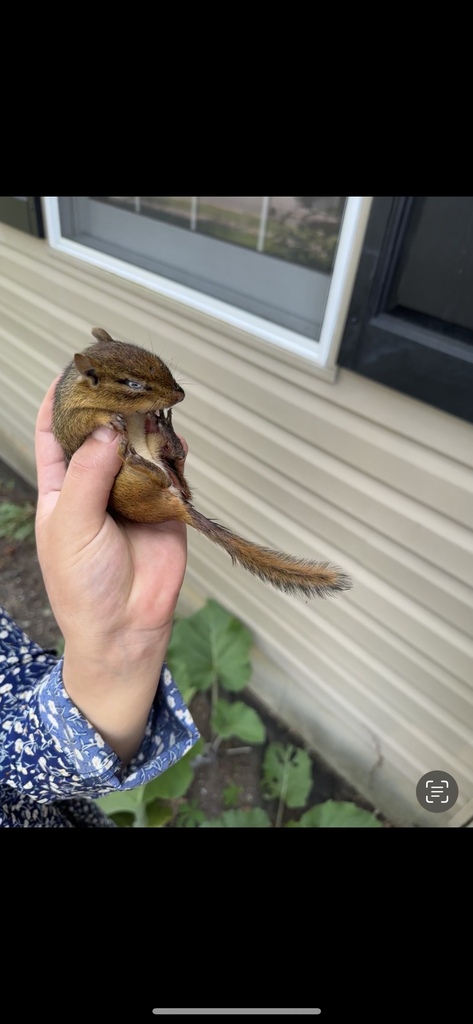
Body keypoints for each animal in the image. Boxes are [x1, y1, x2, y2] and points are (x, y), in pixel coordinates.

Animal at [52, 328, 352, 599]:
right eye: (133, 384)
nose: (181, 394)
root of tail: (175, 508)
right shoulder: (70, 421)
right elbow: (89, 418)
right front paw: (110, 418)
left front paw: (152, 415)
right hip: (130, 483)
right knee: (162, 478)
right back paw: (135, 456)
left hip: (156, 457)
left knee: (177, 475)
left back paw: (165, 431)